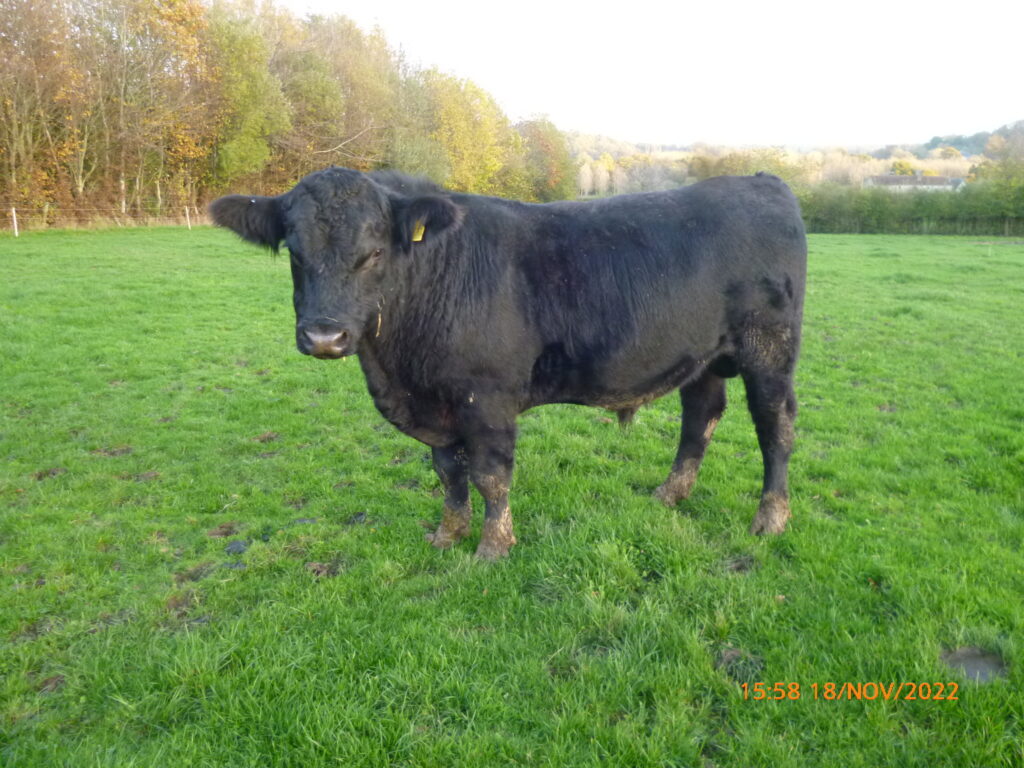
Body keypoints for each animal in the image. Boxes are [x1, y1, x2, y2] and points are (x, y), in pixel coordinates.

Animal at [210, 167, 806, 560]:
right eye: (294, 251)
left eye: (375, 251)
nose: (324, 335)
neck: (398, 371)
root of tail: (759, 179)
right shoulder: (438, 402)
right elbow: (448, 472)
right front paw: (448, 535)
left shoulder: (487, 397)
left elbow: (491, 476)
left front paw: (493, 548)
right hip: (704, 355)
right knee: (700, 416)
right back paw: (669, 494)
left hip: (769, 347)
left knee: (774, 426)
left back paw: (771, 518)